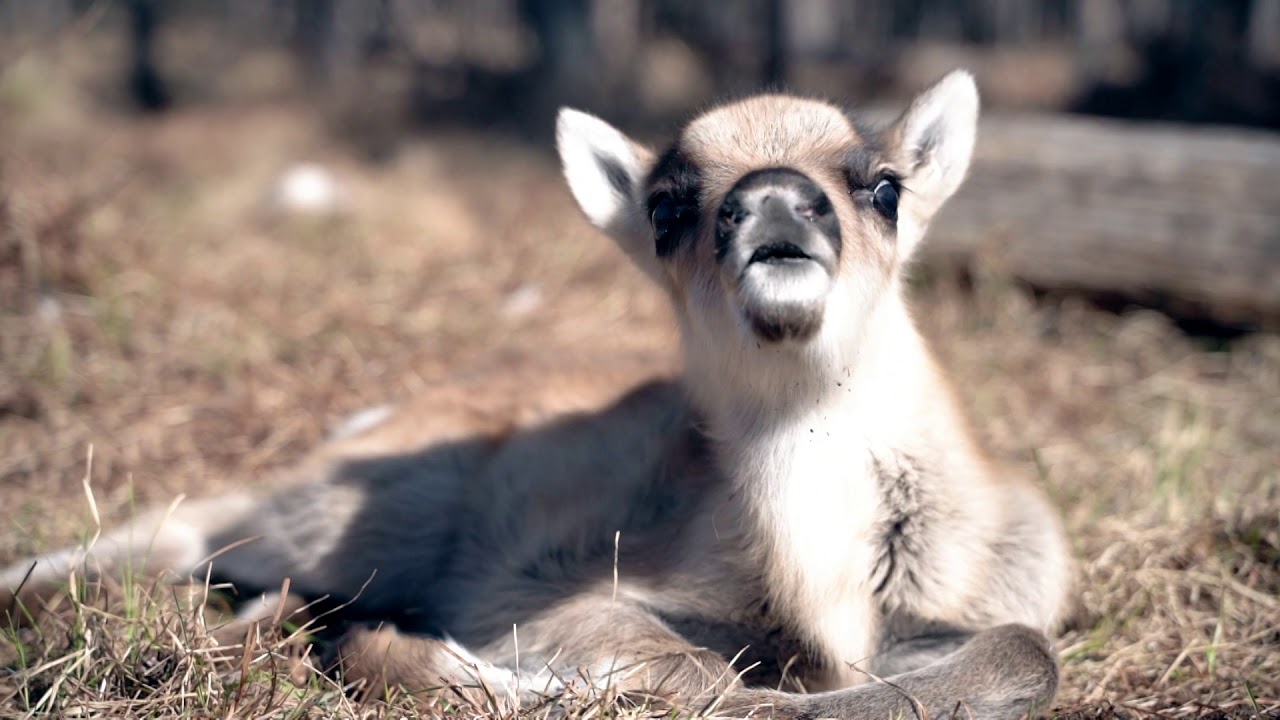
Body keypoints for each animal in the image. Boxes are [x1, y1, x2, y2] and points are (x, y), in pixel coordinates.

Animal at [2, 70, 1071, 718]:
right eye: (666, 204)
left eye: (882, 185)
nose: (771, 202)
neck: (824, 592)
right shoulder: (561, 593)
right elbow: (700, 678)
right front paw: (441, 665)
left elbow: (1025, 649)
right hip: (359, 515)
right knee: (187, 521)